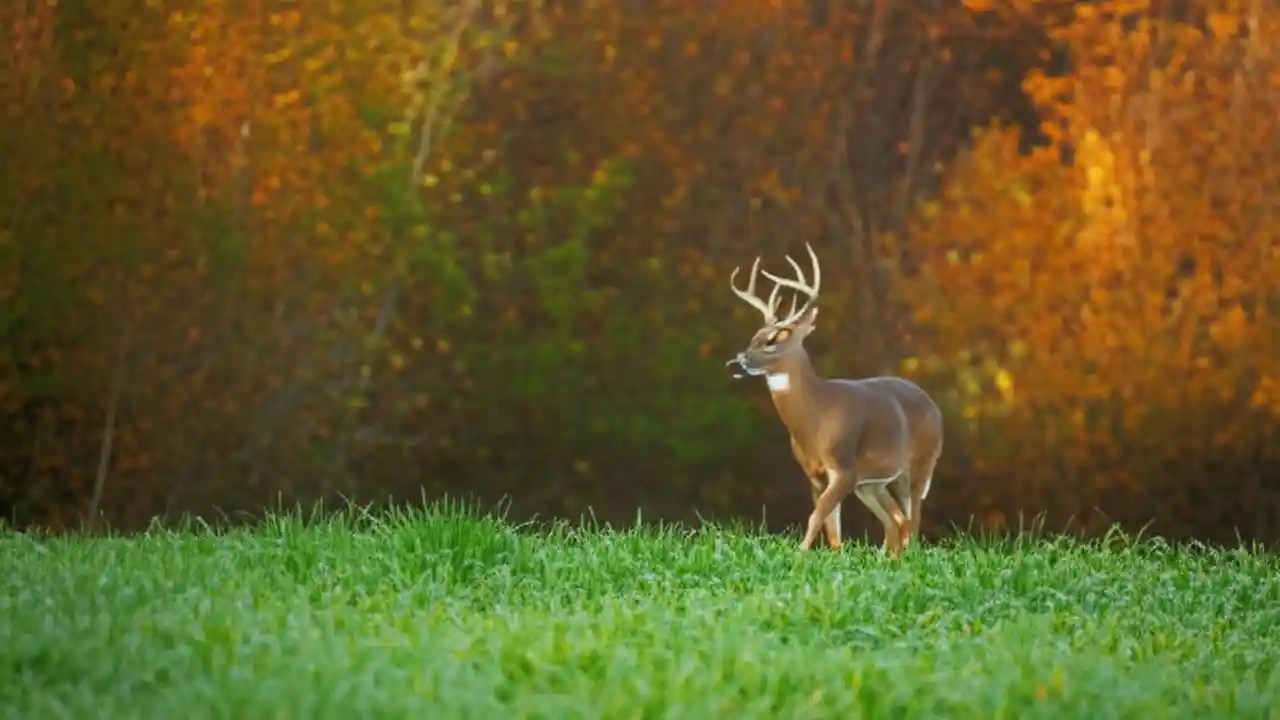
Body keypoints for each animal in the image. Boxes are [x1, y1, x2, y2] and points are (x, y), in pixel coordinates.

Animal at [724, 242, 943, 556]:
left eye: (777, 338)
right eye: (755, 336)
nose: (736, 363)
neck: (816, 415)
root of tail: (934, 406)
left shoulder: (844, 467)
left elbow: (818, 515)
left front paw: (800, 554)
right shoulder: (815, 474)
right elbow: (831, 525)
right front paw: (832, 556)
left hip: (920, 463)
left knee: (911, 518)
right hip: (872, 483)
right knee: (895, 521)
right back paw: (887, 558)